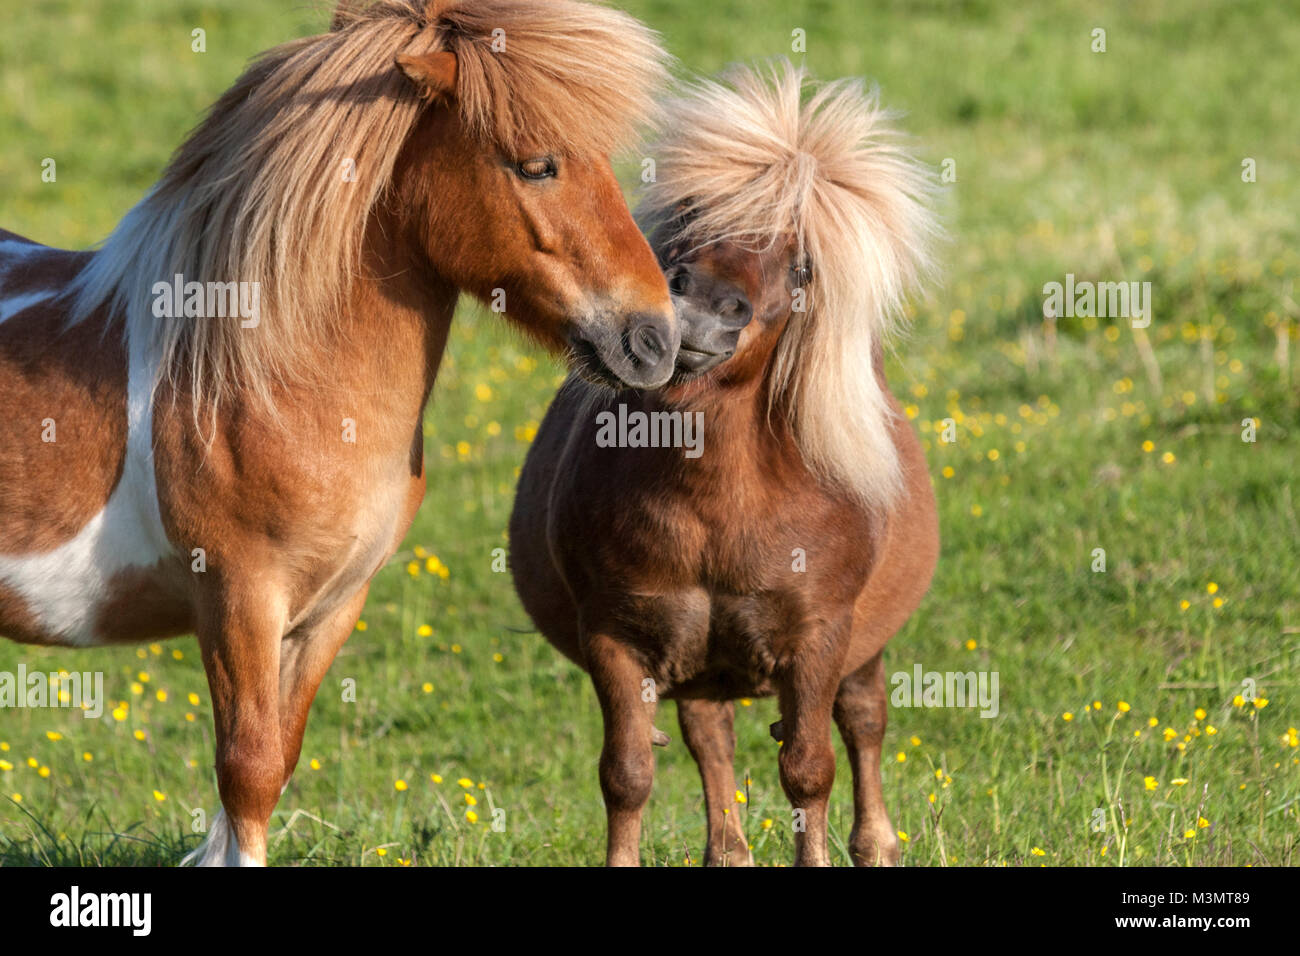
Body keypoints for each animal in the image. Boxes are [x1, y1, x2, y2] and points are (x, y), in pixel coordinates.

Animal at [0, 0, 678, 866]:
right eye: (536, 165)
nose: (654, 339)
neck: (268, 376)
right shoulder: (239, 597)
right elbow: (249, 769)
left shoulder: (331, 607)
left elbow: (277, 759)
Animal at [509, 61, 941, 866]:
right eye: (693, 220)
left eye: (801, 265)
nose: (705, 306)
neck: (718, 498)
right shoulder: (615, 640)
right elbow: (628, 775)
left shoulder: (819, 640)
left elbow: (808, 771)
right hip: (702, 667)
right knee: (711, 743)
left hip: (859, 651)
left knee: (864, 723)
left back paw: (877, 843)